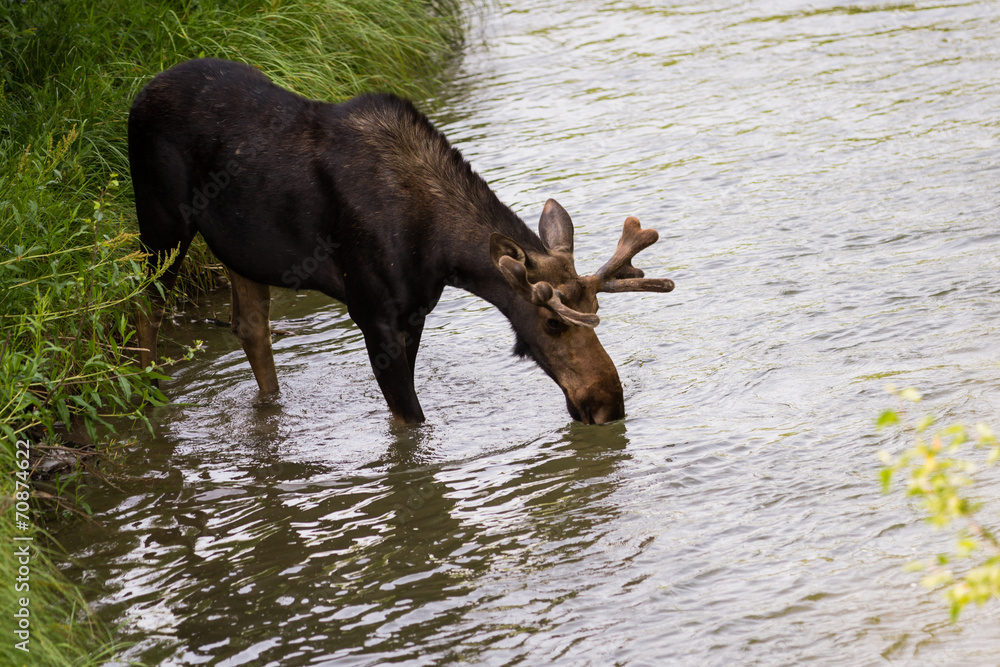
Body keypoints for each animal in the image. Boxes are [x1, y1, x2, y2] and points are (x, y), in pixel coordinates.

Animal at [129, 58, 675, 425]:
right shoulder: (374, 314)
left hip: (239, 249)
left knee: (250, 327)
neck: (443, 253)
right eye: (552, 323)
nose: (608, 405)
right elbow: (410, 422)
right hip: (161, 223)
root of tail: (139, 94)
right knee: (145, 309)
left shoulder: (415, 313)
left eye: (595, 311)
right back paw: (149, 400)